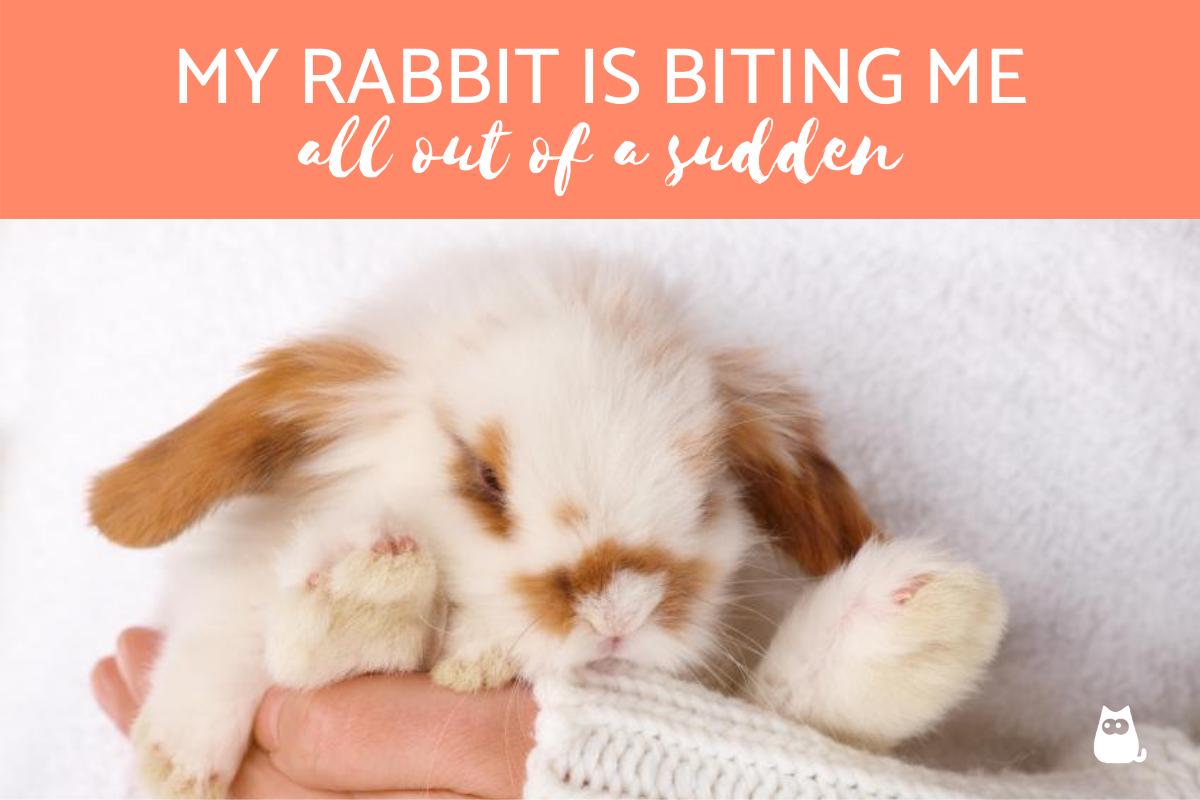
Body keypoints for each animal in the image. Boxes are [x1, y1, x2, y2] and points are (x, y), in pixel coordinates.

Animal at [89, 255, 1007, 798]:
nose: (620, 611)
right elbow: (253, 636)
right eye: (485, 479)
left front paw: (930, 617)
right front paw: (180, 759)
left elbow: (787, 704)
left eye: (708, 493)